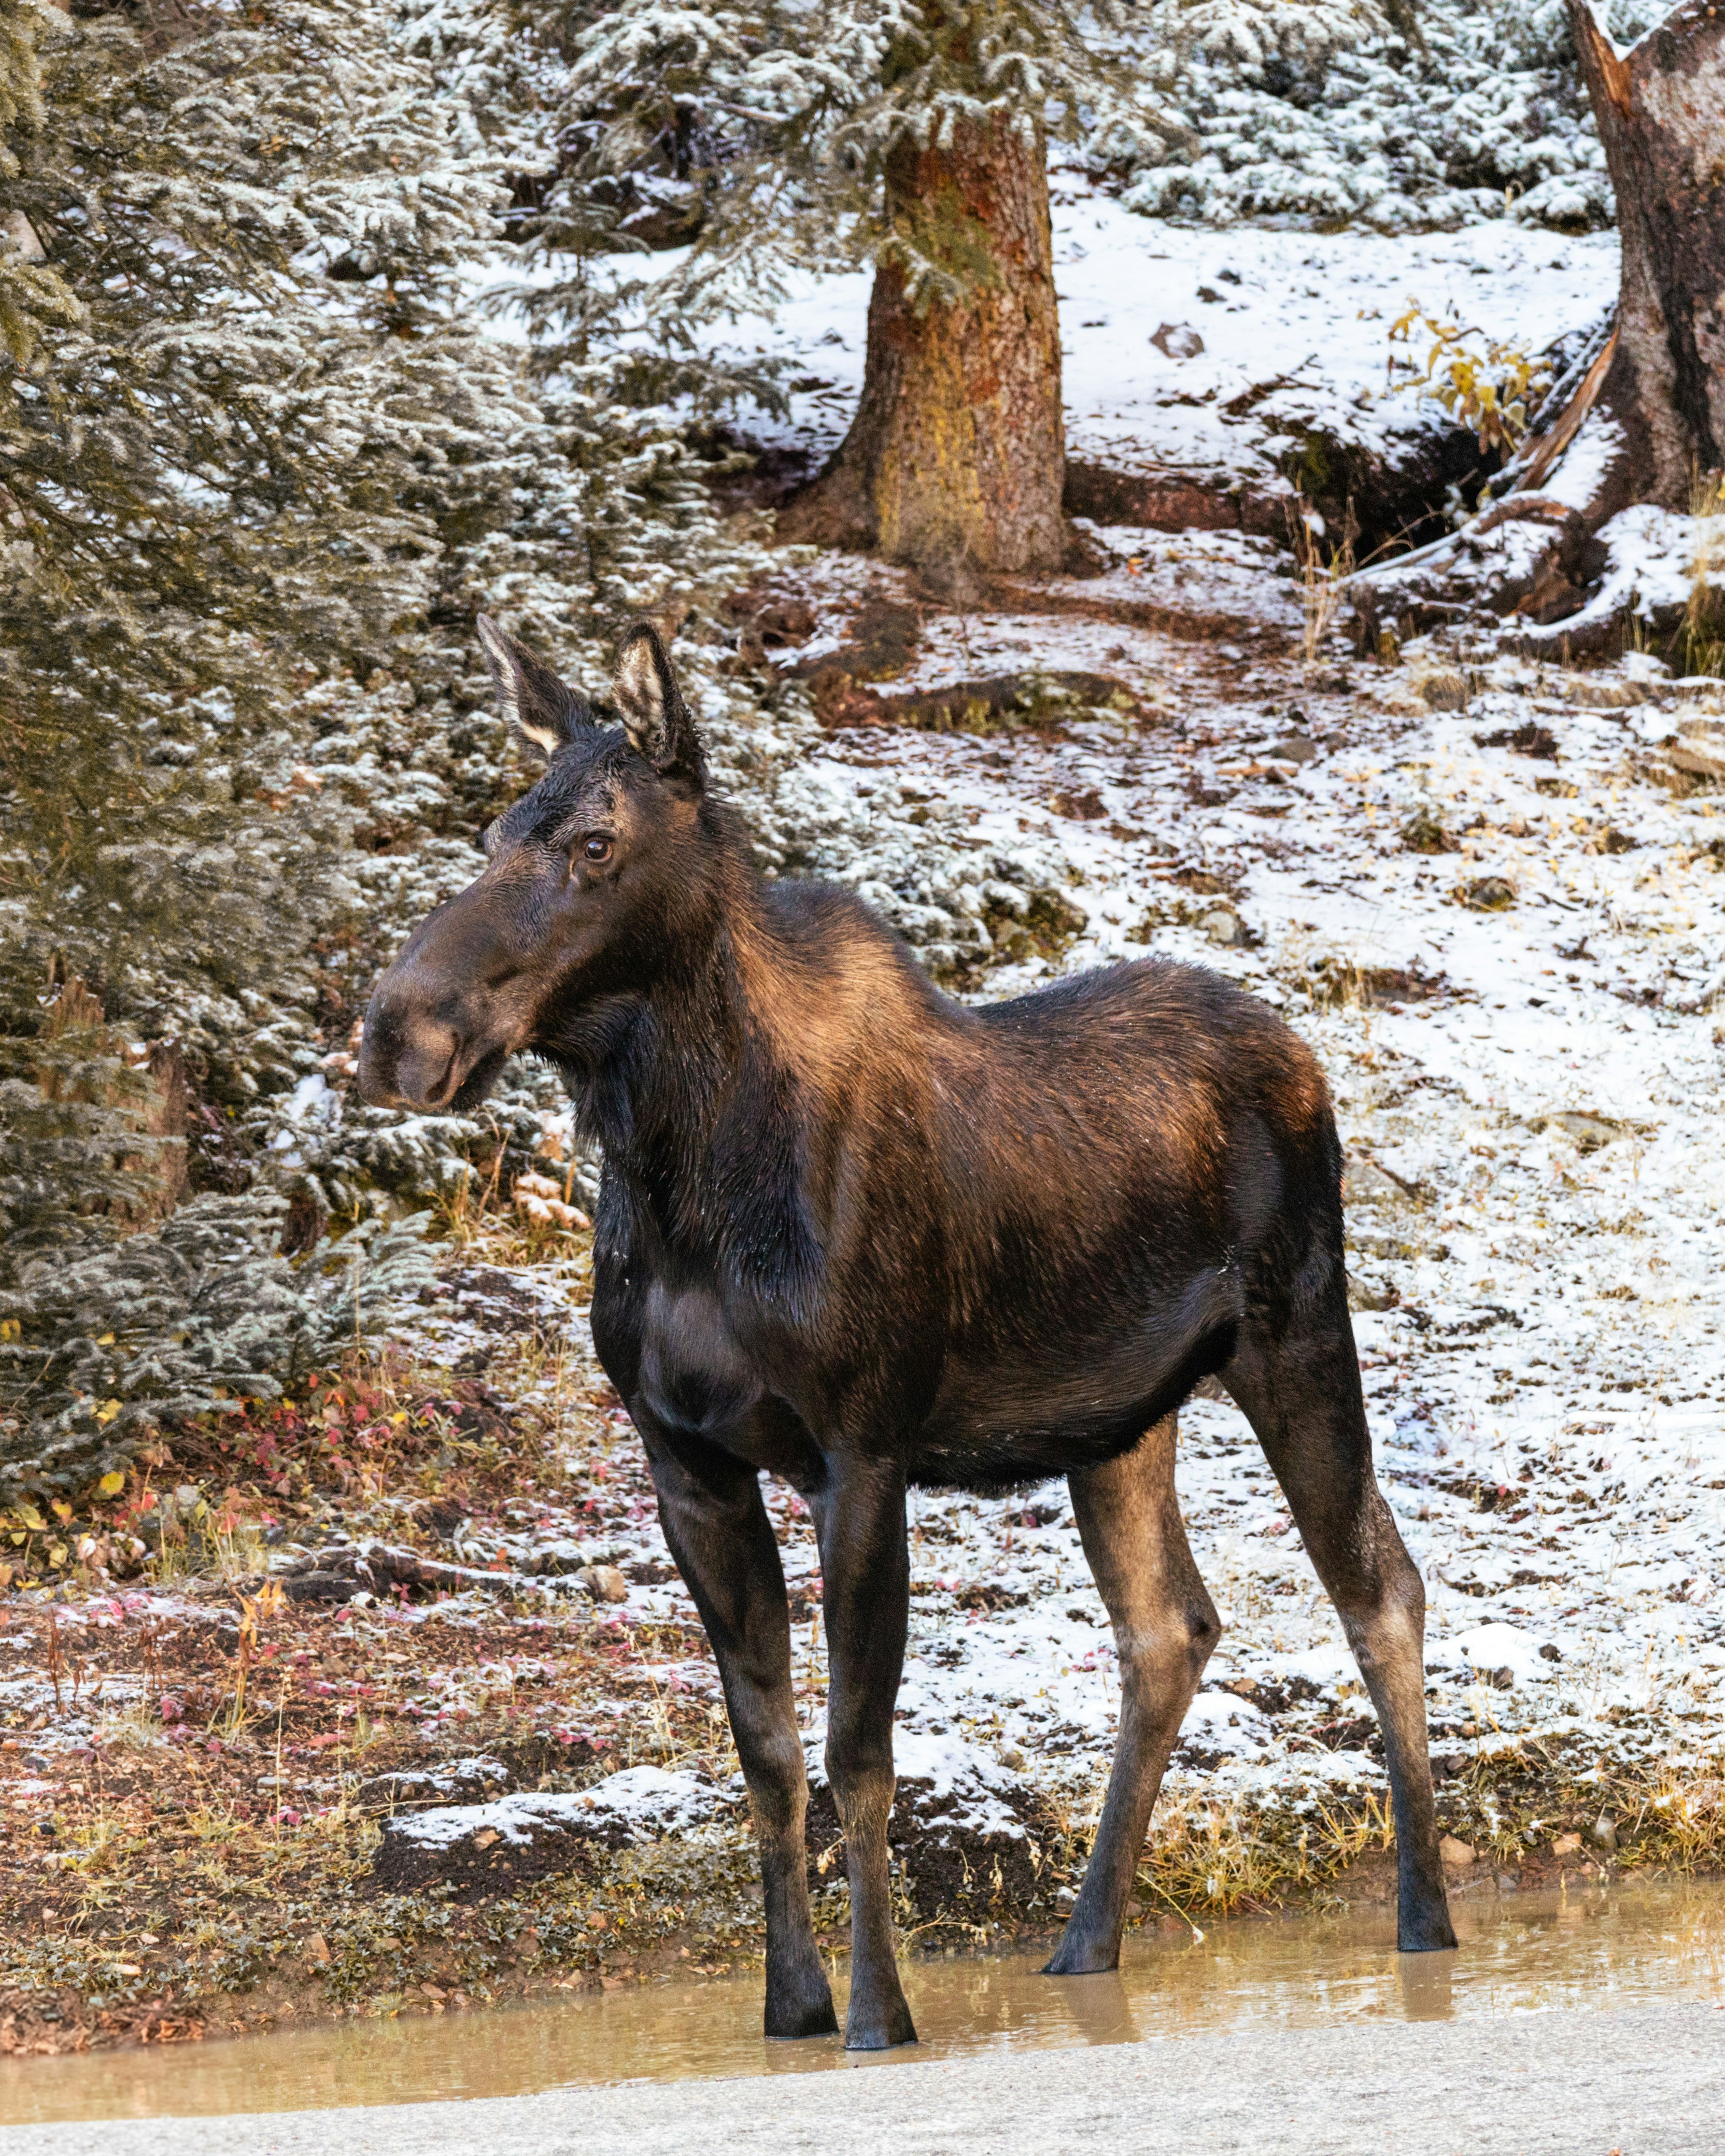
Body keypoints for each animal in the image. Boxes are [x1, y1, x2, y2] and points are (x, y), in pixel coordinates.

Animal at [359, 617, 1456, 2050]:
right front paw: (791, 2001)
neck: (683, 1179)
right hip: (1117, 1419)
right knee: (1170, 1629)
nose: (397, 1030)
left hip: (1298, 1332)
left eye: (596, 841)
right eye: (495, 831)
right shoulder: (684, 1457)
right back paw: (1082, 1942)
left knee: (1379, 1587)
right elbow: (765, 1750)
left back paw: (1423, 1921)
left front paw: (878, 2008)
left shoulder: (863, 1447)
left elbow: (857, 1749)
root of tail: (1309, 1059)